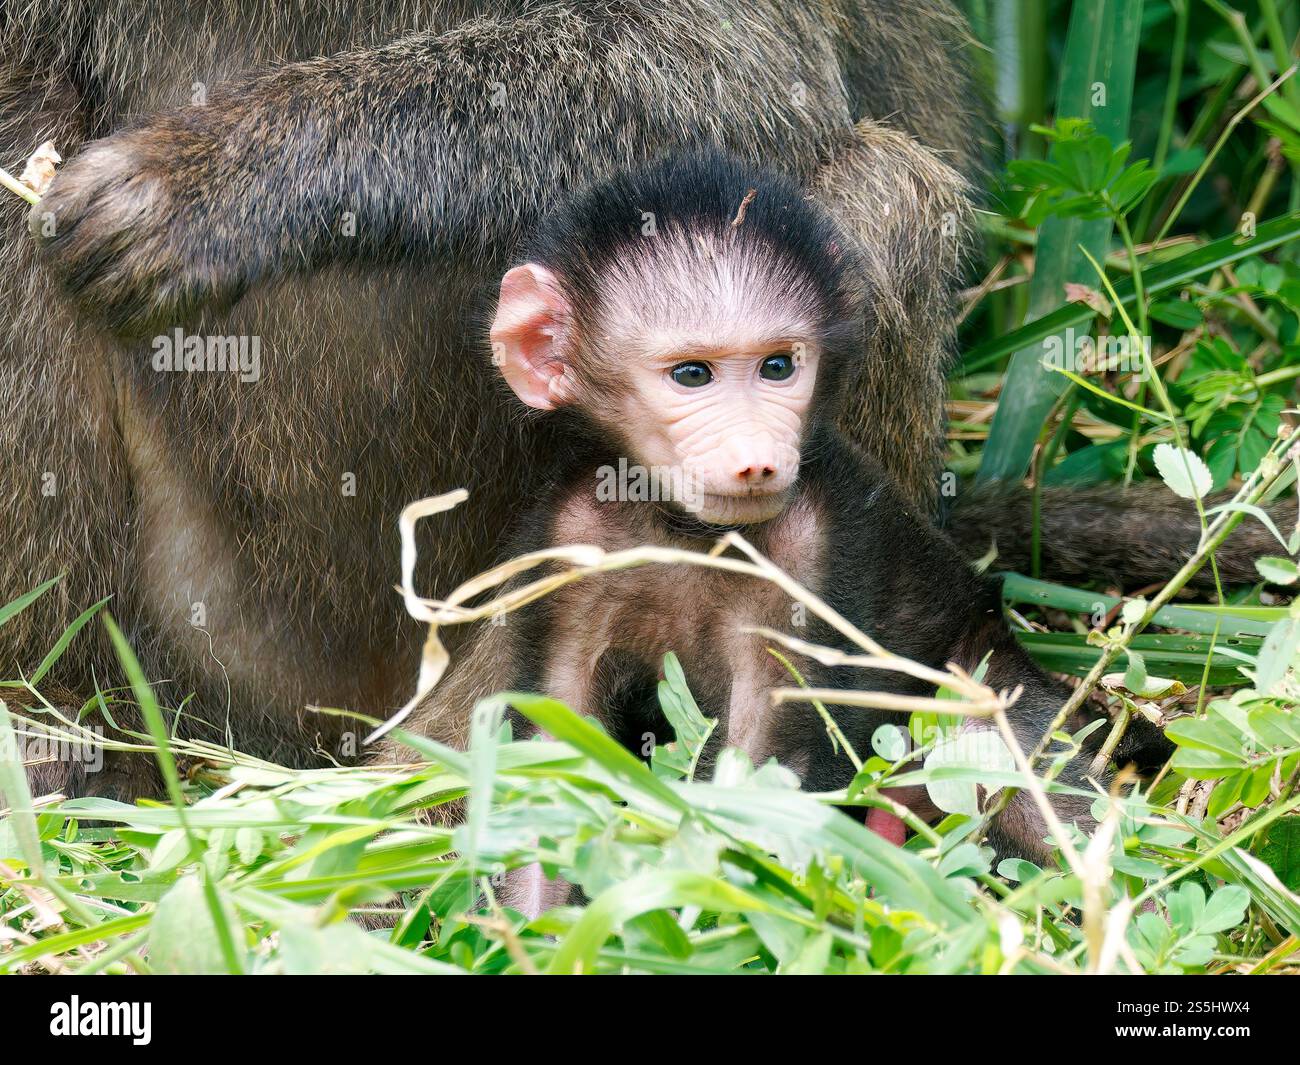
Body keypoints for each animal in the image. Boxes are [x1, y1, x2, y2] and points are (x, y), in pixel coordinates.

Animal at [388, 150, 1170, 914]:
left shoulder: (812, 546)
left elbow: (771, 759)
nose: (758, 456)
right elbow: (557, 740)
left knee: (1007, 757)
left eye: (778, 366)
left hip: (977, 669)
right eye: (692, 374)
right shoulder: (569, 539)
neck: (681, 526)